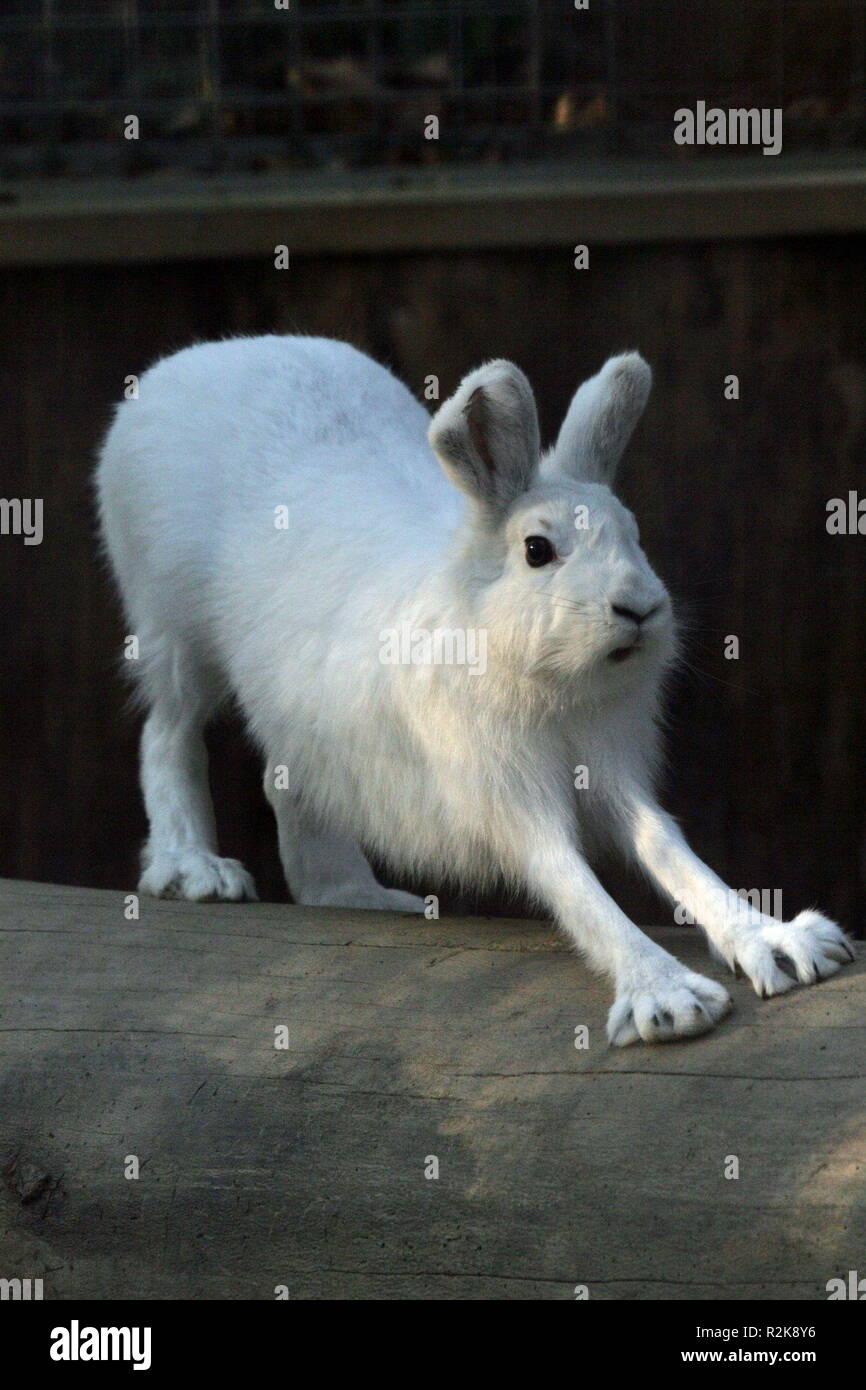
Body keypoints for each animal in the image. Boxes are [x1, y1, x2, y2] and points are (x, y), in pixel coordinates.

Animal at [96, 334, 854, 1046]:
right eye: (537, 551)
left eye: (634, 535)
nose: (639, 608)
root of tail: (190, 365)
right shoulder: (504, 791)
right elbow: (570, 878)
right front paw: (668, 999)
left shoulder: (608, 768)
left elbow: (667, 848)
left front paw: (785, 949)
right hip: (174, 632)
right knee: (166, 734)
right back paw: (196, 871)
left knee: (287, 785)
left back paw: (357, 895)